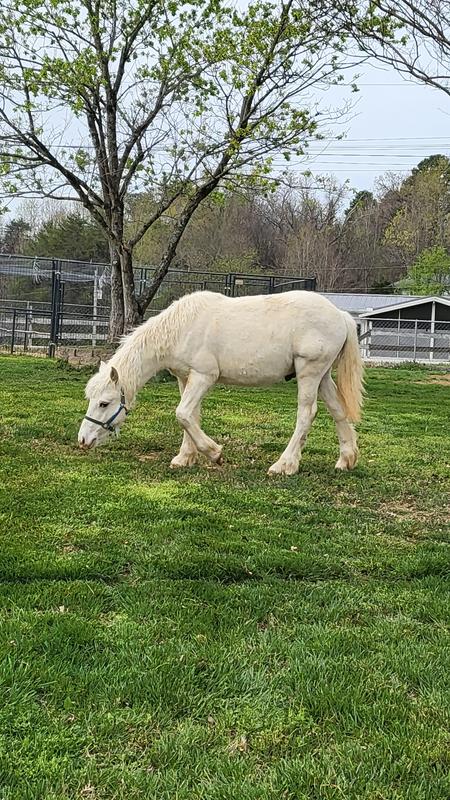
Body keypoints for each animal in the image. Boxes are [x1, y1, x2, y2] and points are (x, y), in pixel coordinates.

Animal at [78, 290, 364, 475]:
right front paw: (185, 457)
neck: (182, 328)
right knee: (338, 411)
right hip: (322, 376)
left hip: (309, 373)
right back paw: (346, 460)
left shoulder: (204, 376)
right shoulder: (186, 378)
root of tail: (340, 315)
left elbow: (182, 414)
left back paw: (284, 465)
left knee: (307, 414)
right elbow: (190, 416)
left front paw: (214, 453)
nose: (83, 440)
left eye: (104, 403)